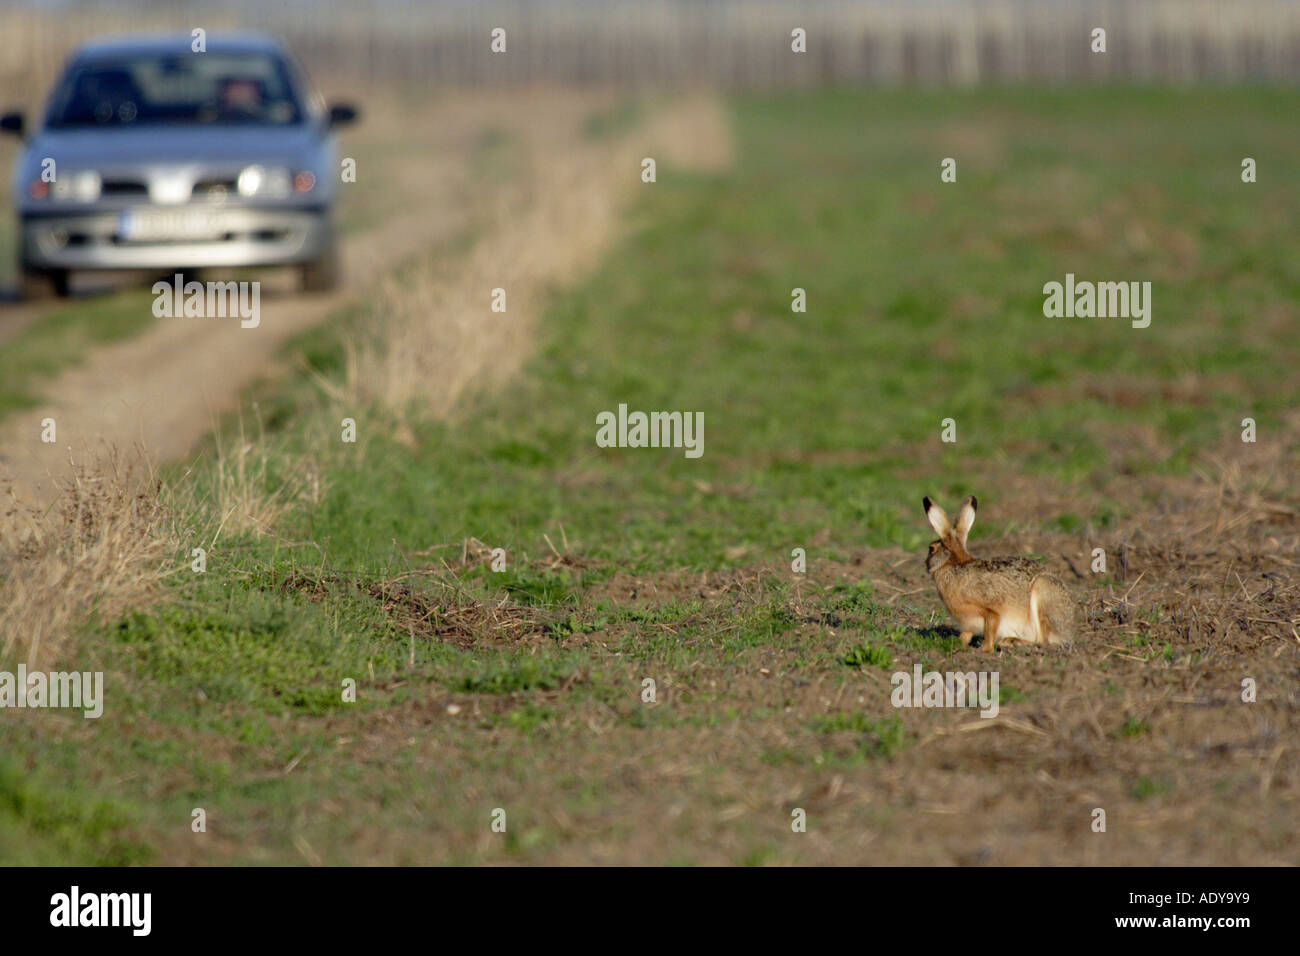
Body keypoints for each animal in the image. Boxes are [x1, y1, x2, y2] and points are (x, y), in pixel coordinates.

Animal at [922, 495, 1075, 651]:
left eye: (931, 548)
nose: (925, 564)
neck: (953, 564)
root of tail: (1067, 629)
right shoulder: (969, 624)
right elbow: (966, 635)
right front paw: (959, 644)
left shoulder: (989, 611)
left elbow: (990, 630)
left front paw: (984, 650)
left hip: (1043, 592)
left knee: (1043, 641)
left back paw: (1010, 642)